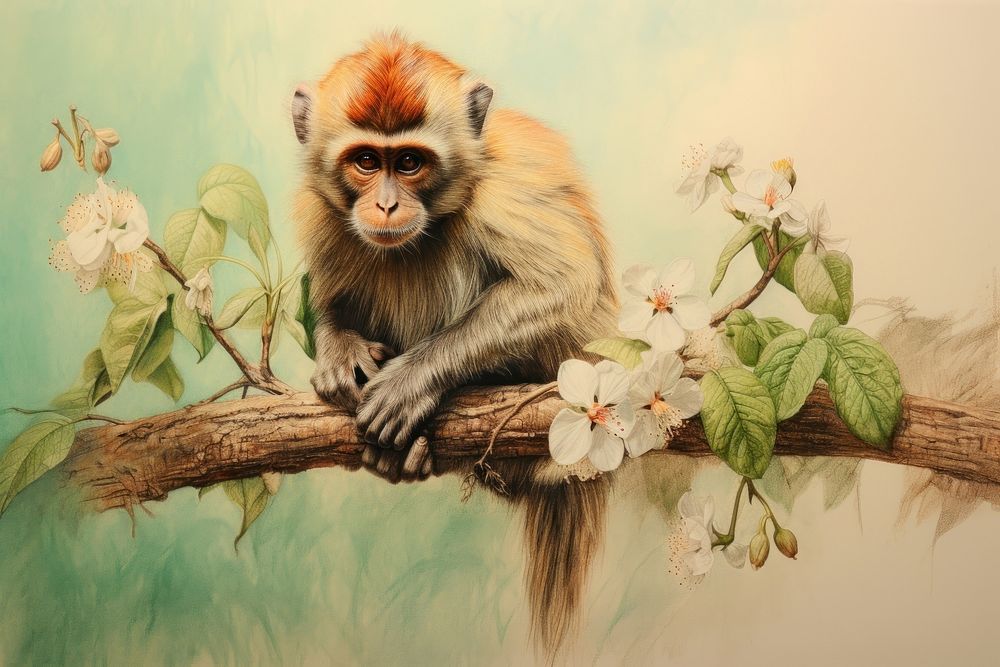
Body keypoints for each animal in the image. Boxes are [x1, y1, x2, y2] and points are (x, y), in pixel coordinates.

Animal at [292, 32, 618, 657]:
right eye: (366, 161)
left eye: (410, 162)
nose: (386, 206)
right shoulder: (320, 209)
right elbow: (331, 295)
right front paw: (338, 351)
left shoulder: (503, 193)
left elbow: (560, 284)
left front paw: (409, 383)